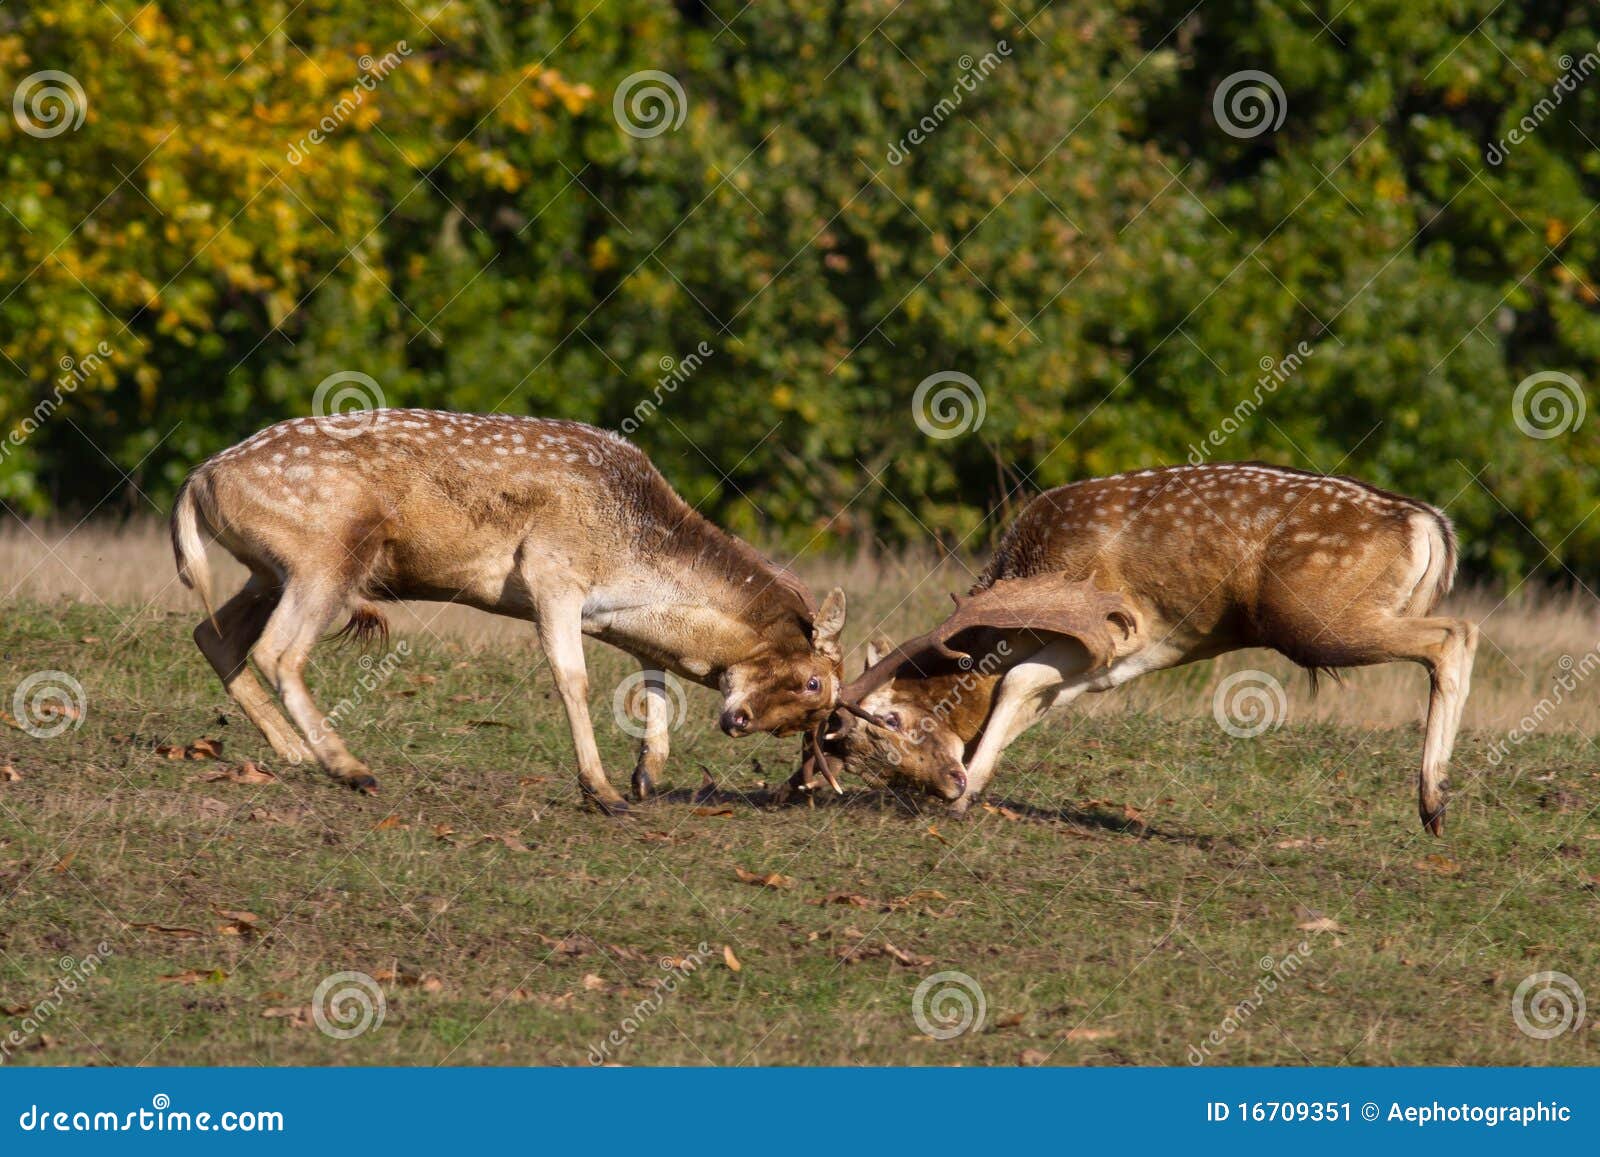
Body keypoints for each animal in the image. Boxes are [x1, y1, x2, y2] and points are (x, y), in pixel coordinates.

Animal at [170, 409, 847, 815]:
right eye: (814, 682)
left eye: (813, 714)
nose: (737, 722)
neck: (636, 568)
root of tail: (200, 479)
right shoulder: (553, 572)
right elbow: (574, 679)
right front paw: (603, 792)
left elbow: (651, 679)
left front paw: (645, 776)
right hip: (328, 554)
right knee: (277, 651)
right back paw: (351, 768)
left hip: (269, 570)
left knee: (212, 633)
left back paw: (294, 754)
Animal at [798, 462, 1477, 835]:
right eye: (863, 759)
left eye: (889, 720)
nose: (944, 784)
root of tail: (1431, 525)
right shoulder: (1125, 656)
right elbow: (1028, 690)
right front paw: (976, 789)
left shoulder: (1114, 623)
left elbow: (1017, 679)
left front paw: (969, 793)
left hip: (1313, 618)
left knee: (1456, 634)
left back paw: (1432, 801)